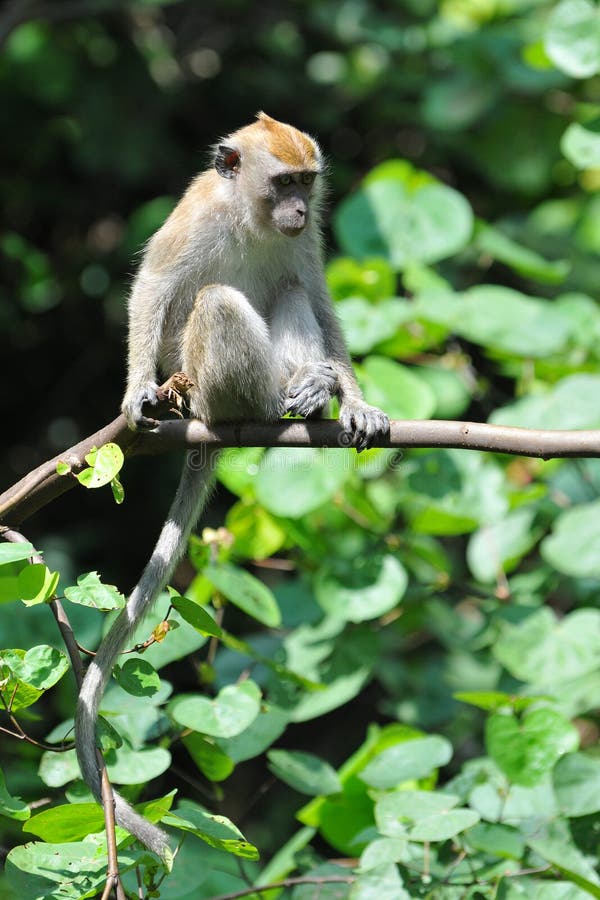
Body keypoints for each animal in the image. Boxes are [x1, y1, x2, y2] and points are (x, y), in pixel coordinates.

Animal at [75, 113, 389, 859]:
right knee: (216, 304)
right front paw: (135, 389)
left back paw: (312, 391)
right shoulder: (195, 219)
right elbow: (153, 288)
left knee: (292, 292)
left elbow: (320, 301)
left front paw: (355, 399)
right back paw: (273, 403)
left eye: (306, 183)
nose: (298, 210)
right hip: (205, 385)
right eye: (282, 183)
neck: (249, 216)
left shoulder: (308, 240)